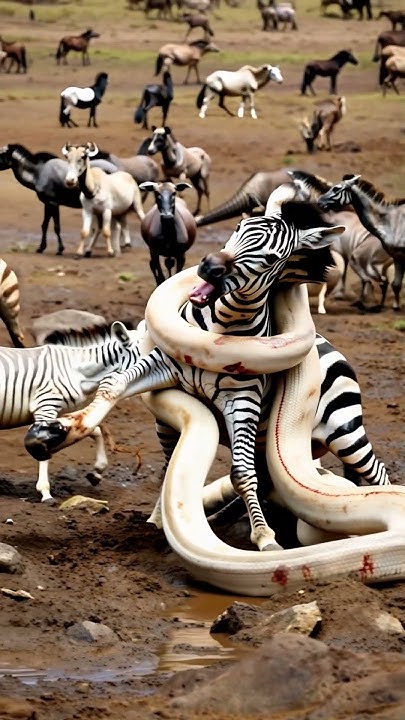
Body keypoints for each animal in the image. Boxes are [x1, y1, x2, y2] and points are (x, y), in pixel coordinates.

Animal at [0, 322, 141, 503]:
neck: (77, 371)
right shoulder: (45, 406)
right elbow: (42, 447)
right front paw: (45, 493)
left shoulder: (63, 413)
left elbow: (94, 430)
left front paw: (97, 471)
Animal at [24, 185, 389, 552]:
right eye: (239, 228)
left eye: (273, 258)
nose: (210, 267)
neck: (221, 327)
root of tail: (331, 348)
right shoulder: (163, 365)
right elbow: (113, 387)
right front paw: (58, 431)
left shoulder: (243, 401)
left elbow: (241, 474)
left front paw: (265, 538)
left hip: (345, 432)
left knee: (376, 471)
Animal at [316, 174, 405, 311]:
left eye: (336, 188)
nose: (319, 202)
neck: (389, 222)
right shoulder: (397, 256)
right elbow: (396, 284)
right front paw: (395, 307)